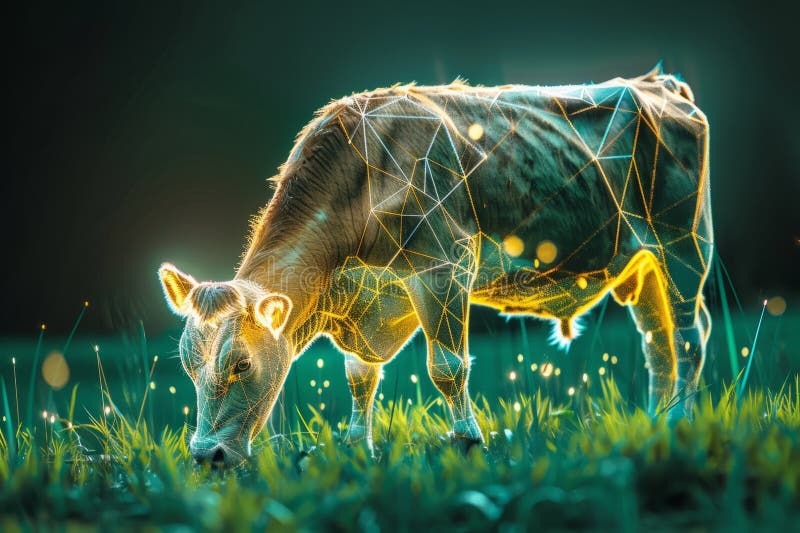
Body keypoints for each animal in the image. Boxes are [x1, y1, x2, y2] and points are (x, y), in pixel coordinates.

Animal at [159, 65, 713, 467]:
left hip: (684, 247)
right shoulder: (371, 300)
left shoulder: (442, 268)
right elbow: (360, 377)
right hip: (641, 266)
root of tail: (658, 82)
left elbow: (447, 368)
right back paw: (656, 421)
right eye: (187, 364)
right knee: (657, 342)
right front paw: (358, 448)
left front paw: (468, 441)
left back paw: (679, 423)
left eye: (241, 363)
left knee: (689, 337)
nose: (205, 456)